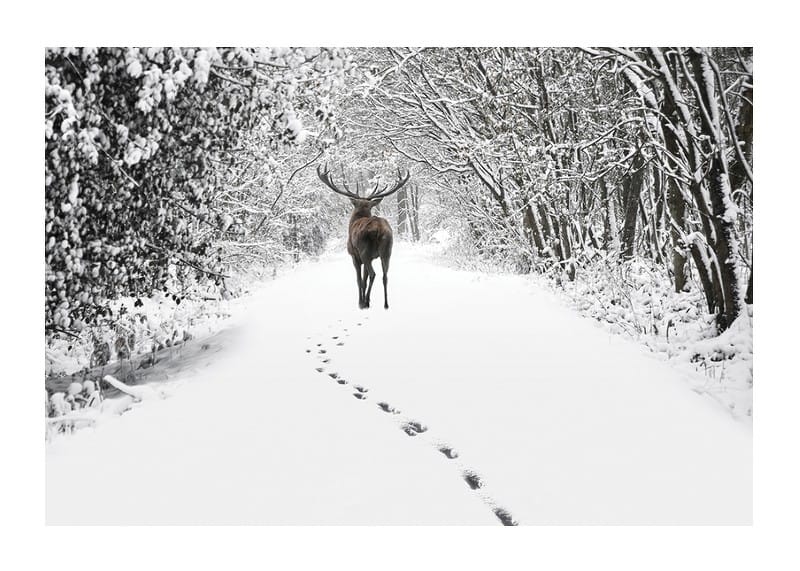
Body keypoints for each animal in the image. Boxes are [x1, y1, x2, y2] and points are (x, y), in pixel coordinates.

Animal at [317, 164, 411, 310]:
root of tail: (379, 229)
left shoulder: (354, 256)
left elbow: (359, 279)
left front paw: (360, 302)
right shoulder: (372, 257)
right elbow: (364, 279)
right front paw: (367, 300)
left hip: (364, 250)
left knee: (373, 274)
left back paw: (365, 302)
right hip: (387, 251)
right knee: (385, 276)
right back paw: (385, 304)